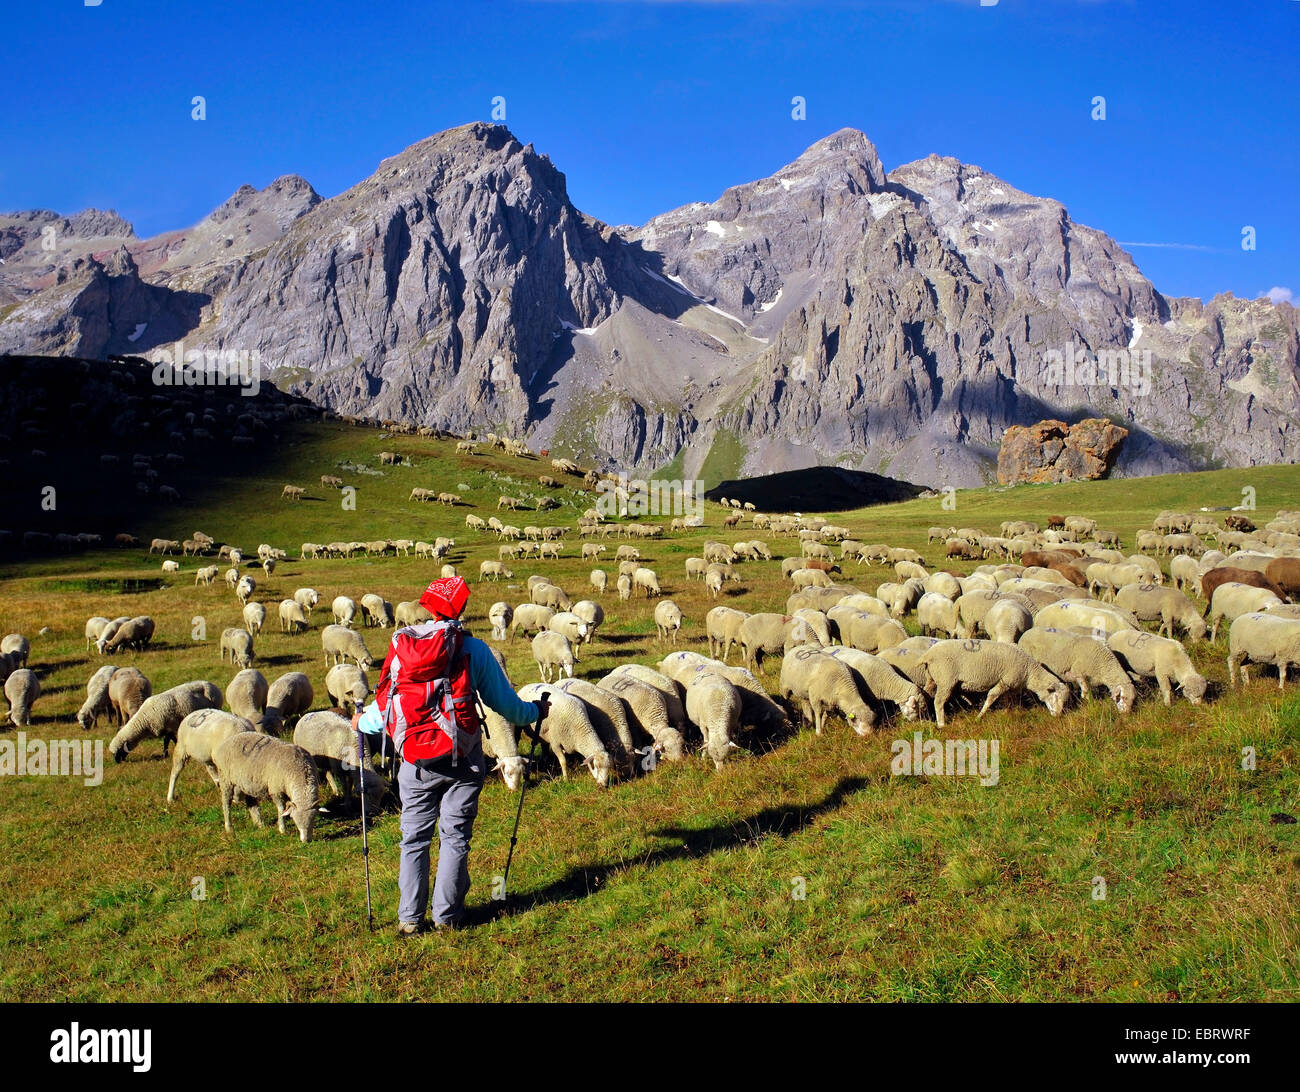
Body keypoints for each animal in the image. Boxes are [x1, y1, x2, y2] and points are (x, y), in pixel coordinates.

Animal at [916, 640, 1070, 728]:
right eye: (1056, 696)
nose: (1058, 716)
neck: (1029, 671)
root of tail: (927, 655)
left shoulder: (1009, 685)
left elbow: (1008, 699)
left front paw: (1007, 712)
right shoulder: (1005, 681)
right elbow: (991, 696)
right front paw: (979, 716)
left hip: (932, 678)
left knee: (926, 694)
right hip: (946, 680)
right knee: (939, 702)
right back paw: (941, 724)